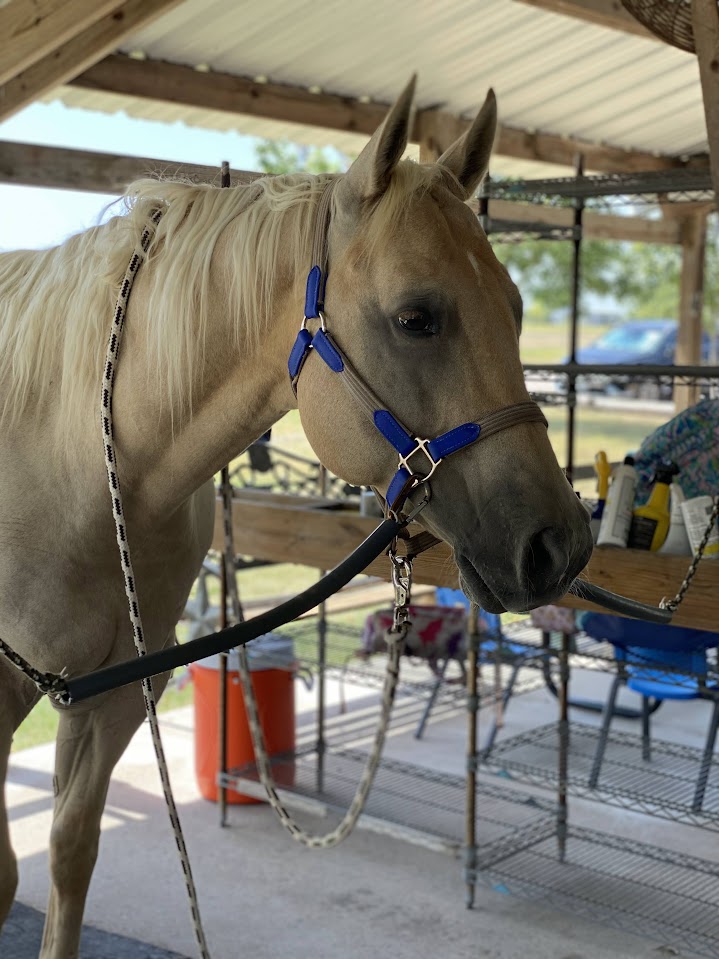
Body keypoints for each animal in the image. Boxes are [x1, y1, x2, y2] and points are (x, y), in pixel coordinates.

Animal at [0, 77, 593, 958]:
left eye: (517, 307)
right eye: (416, 317)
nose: (557, 545)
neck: (71, 459)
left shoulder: (115, 695)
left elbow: (70, 853)